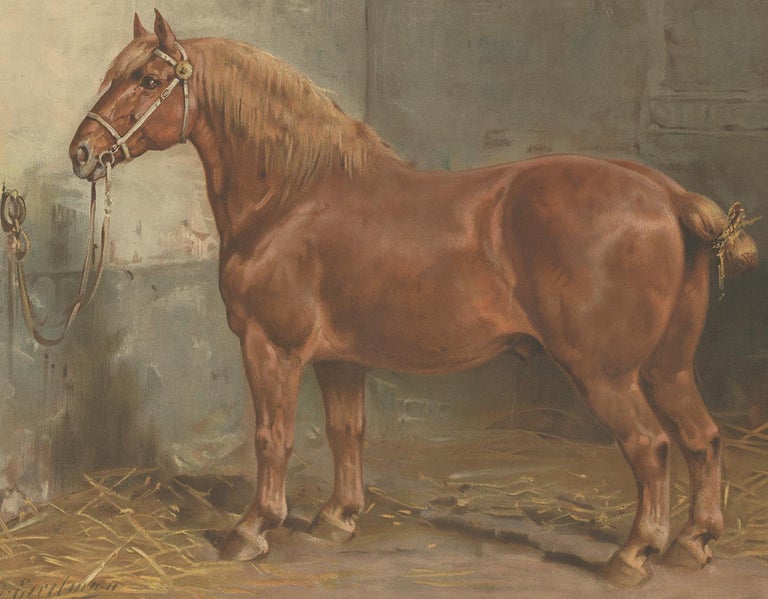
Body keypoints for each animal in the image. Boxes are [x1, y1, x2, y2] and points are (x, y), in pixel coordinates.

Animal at [68, 10, 757, 586]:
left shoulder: (273, 347)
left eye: (150, 78)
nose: (82, 152)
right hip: (667, 367)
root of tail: (665, 193)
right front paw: (336, 519)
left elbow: (273, 437)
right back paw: (693, 543)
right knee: (702, 439)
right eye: (111, 76)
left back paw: (633, 554)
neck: (292, 197)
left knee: (651, 447)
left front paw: (252, 529)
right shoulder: (338, 358)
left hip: (605, 374)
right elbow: (347, 431)